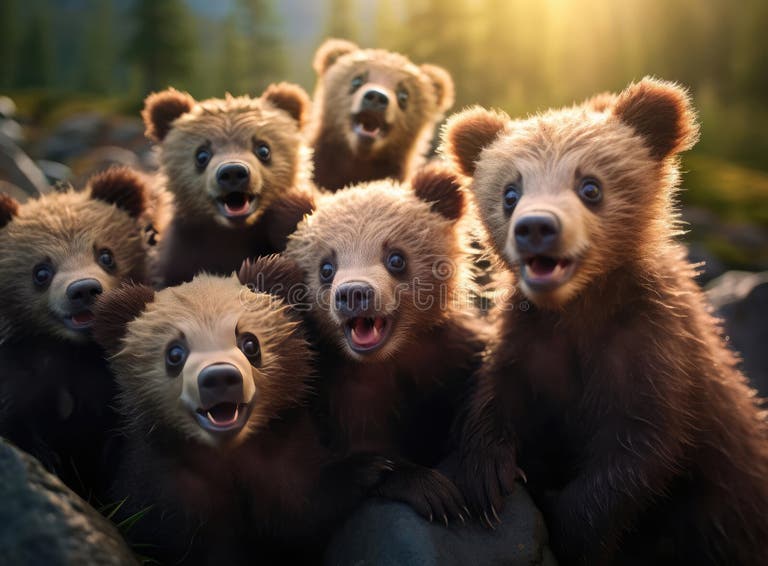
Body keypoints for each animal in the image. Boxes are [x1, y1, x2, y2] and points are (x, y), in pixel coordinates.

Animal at [92, 257, 395, 565]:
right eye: (175, 353)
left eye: (249, 343)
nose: (220, 377)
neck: (229, 451)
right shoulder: (162, 483)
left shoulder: (282, 460)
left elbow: (304, 507)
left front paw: (373, 468)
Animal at [284, 163, 486, 523]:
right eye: (326, 267)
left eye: (396, 258)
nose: (354, 293)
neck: (388, 358)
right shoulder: (345, 394)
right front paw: (433, 491)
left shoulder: (448, 353)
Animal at [442, 77, 768, 565]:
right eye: (510, 193)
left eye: (590, 186)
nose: (536, 227)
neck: (579, 309)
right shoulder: (530, 341)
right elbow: (496, 394)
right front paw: (486, 477)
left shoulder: (652, 354)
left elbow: (634, 454)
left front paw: (568, 525)